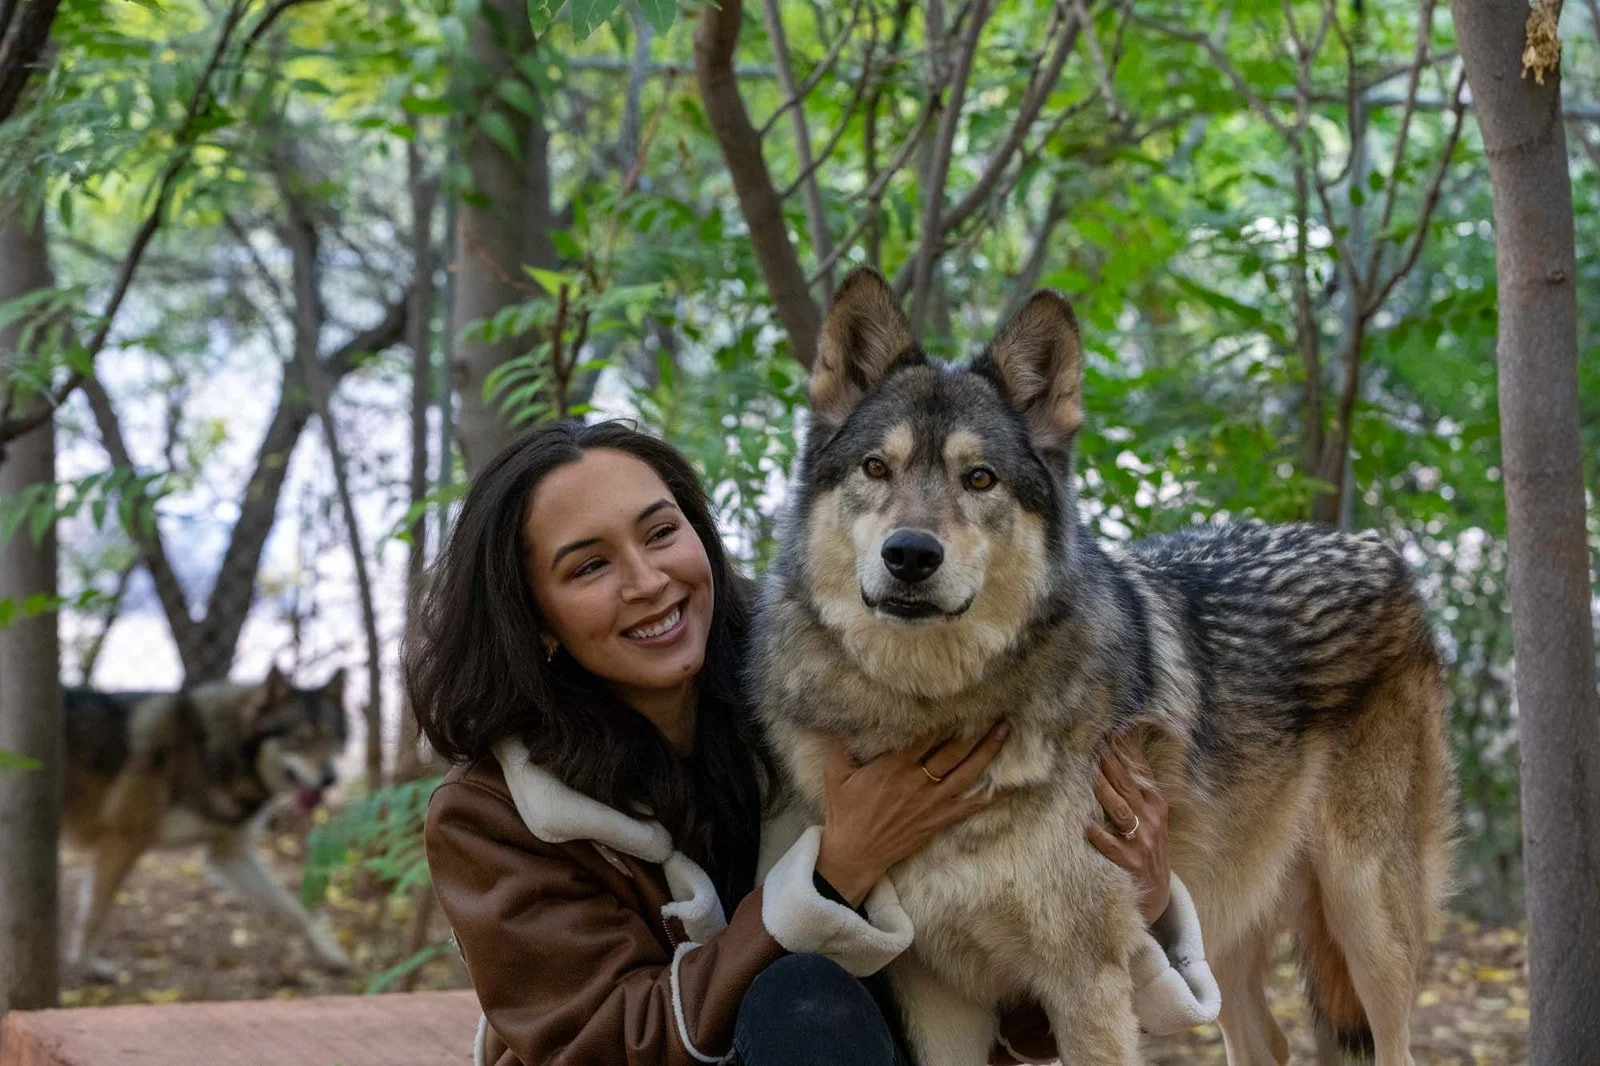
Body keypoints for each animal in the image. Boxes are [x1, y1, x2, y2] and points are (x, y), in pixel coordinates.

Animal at [61, 667, 353, 978]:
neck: (213, 750)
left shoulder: (229, 854)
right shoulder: (122, 840)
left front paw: (329, 951)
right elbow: (95, 912)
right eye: (300, 738)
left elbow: (294, 908)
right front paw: (86, 964)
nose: (330, 779)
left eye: (332, 739)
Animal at [752, 269, 1454, 1066]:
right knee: (1266, 1039)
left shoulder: (1087, 981)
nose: (909, 554)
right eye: (877, 468)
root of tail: (1376, 547)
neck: (932, 715)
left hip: (1368, 919)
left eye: (979, 479)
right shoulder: (937, 992)